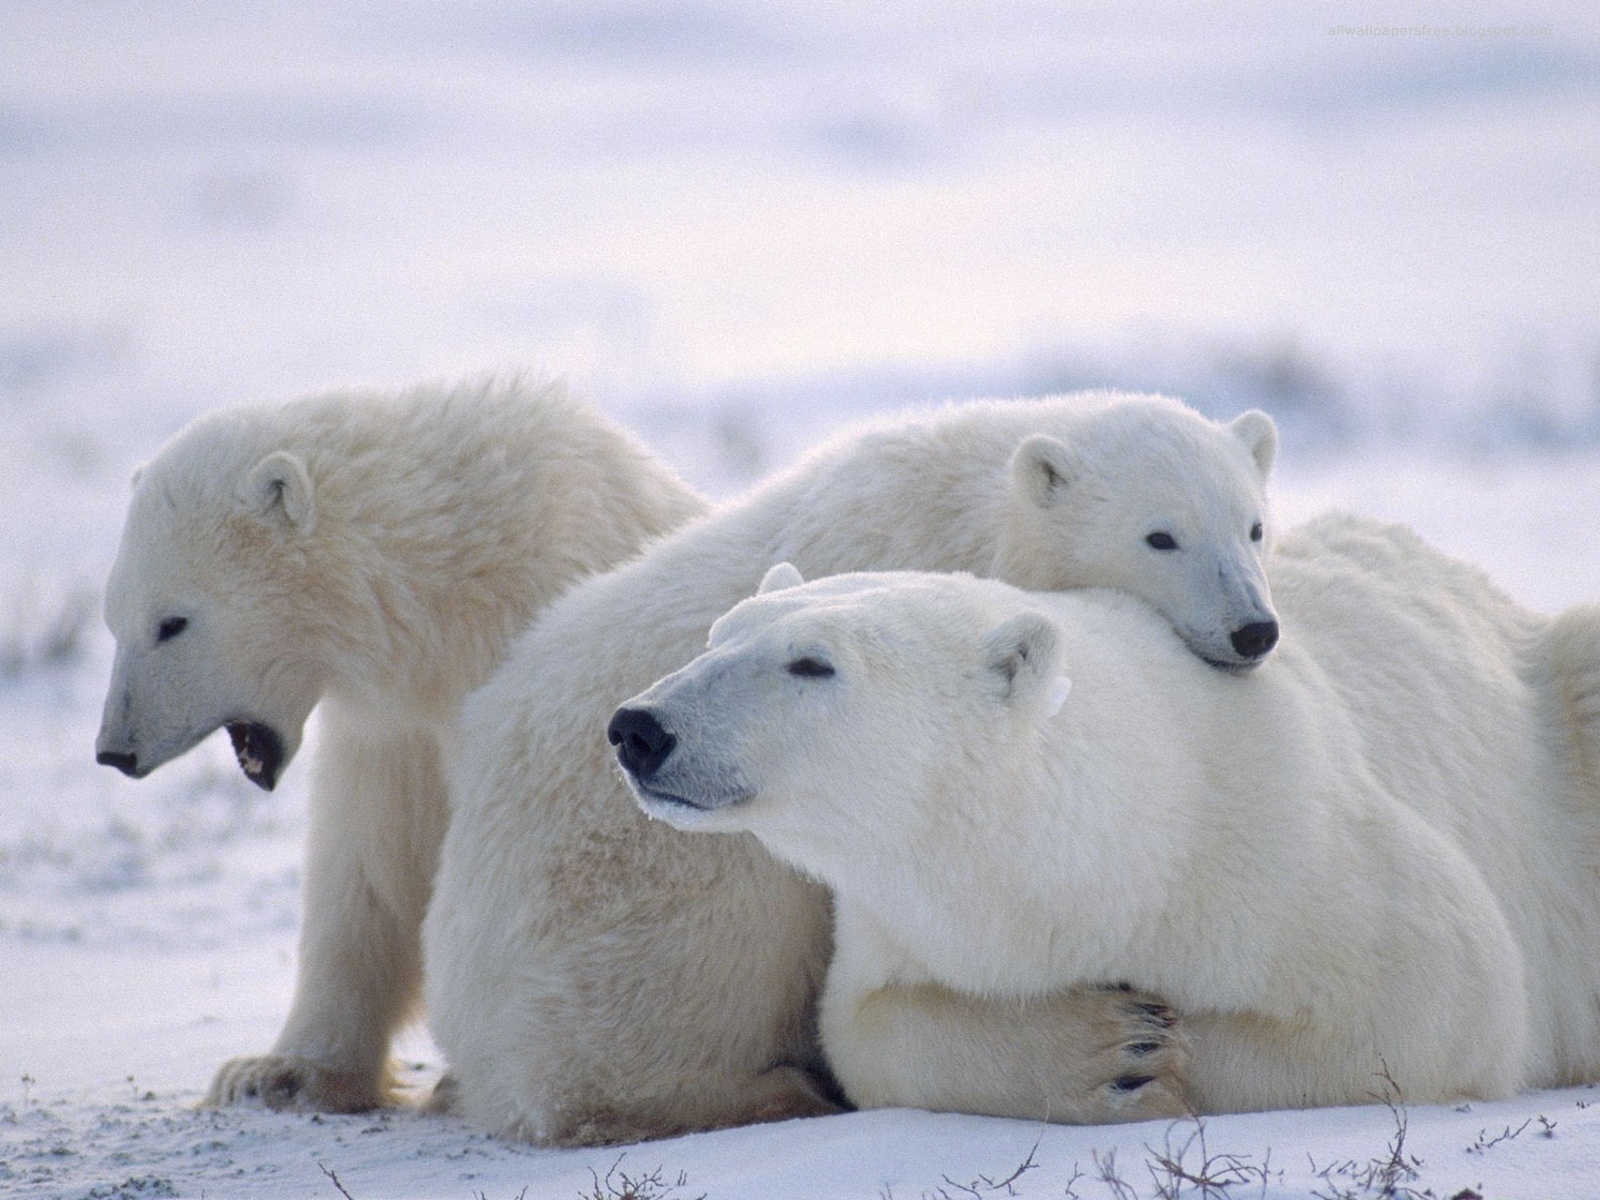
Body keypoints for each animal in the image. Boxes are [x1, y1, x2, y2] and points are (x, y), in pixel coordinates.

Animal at [94, 376, 705, 1112]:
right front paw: (276, 1072)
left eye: (172, 622)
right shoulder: (391, 730)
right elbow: (369, 868)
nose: (115, 750)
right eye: (112, 619)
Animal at [422, 390, 1277, 1145]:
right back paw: (770, 1091)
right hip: (622, 896)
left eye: (1254, 527)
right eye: (1161, 536)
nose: (1254, 630)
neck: (974, 509)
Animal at [613, 524, 1600, 1119]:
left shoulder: (1298, 855)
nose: (640, 728)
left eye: (812, 663)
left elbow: (1447, 998)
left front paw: (1163, 1050)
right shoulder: (901, 924)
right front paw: (1111, 1050)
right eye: (719, 635)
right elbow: (869, 1030)